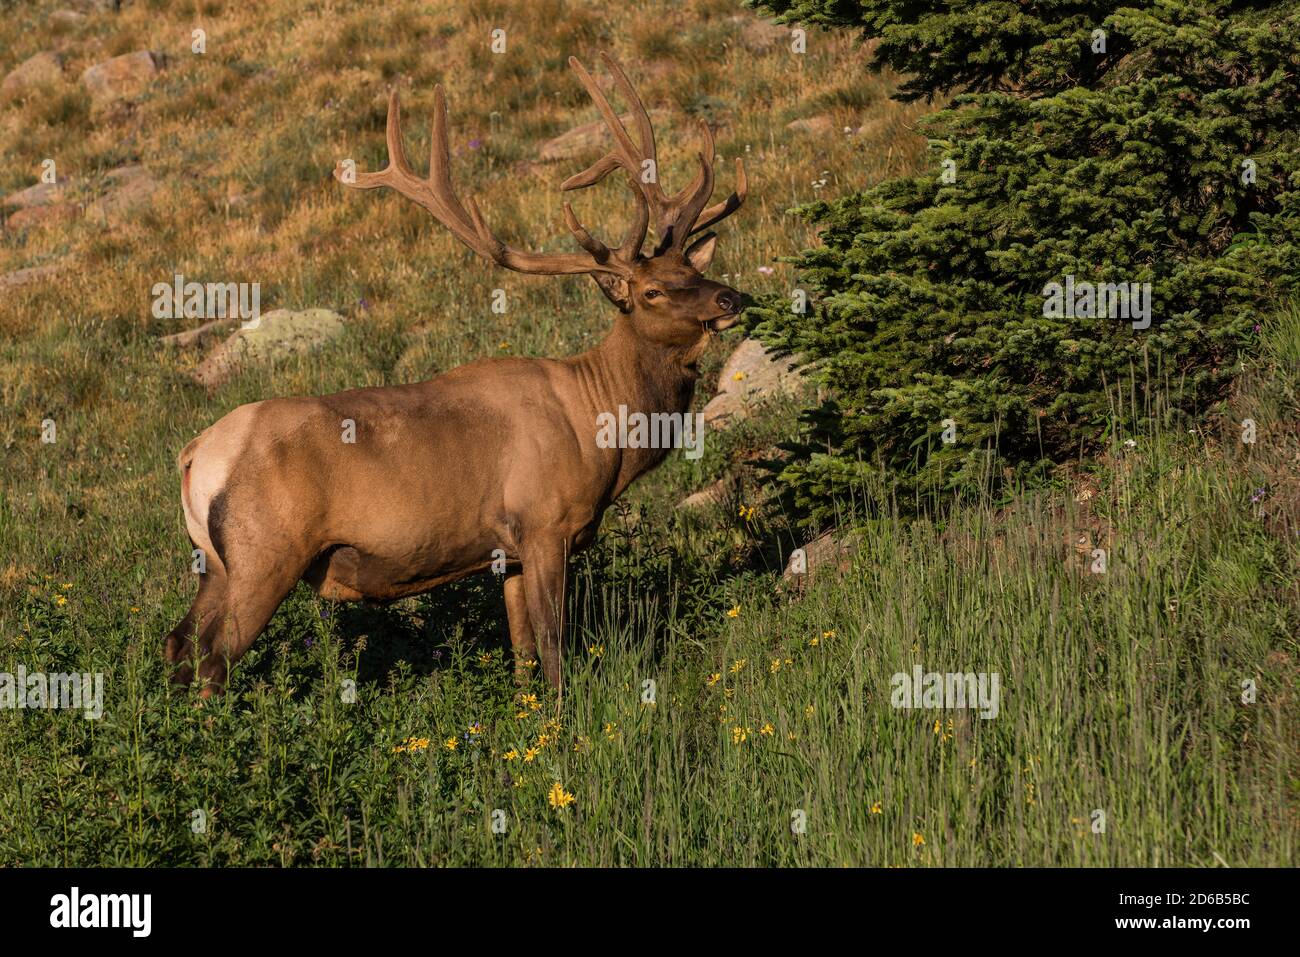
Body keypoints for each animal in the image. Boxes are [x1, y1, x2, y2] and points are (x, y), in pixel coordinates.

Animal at [163, 54, 747, 697]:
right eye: (652, 291)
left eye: (693, 267)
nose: (733, 298)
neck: (603, 434)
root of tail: (195, 455)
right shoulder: (545, 524)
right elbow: (553, 646)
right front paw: (567, 717)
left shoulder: (508, 553)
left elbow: (522, 654)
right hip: (263, 553)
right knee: (213, 658)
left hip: (214, 563)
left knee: (178, 643)